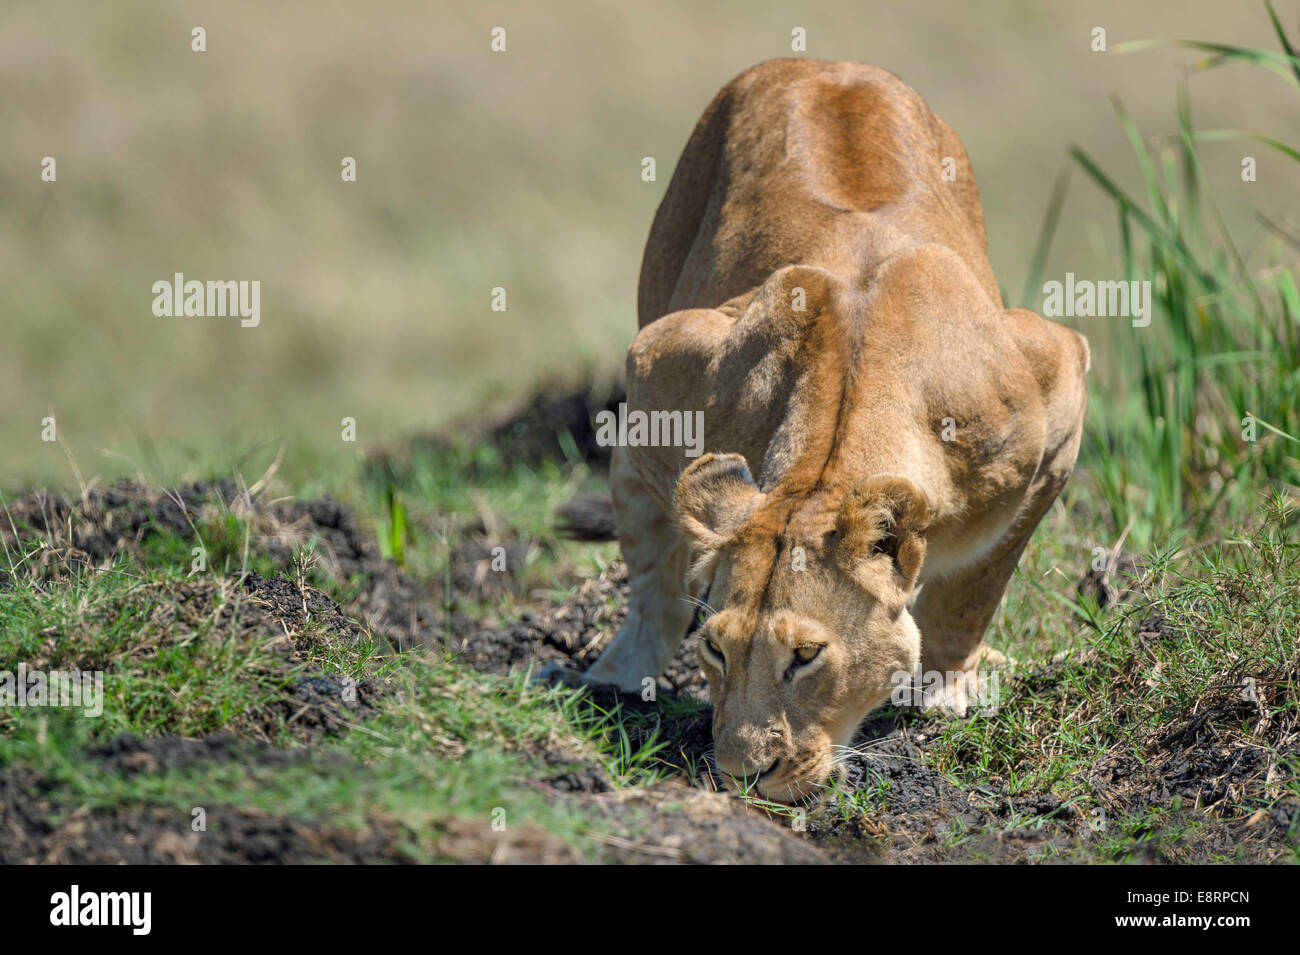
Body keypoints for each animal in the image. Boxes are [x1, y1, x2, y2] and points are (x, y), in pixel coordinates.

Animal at [550, 59, 1089, 802]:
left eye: (806, 656)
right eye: (715, 647)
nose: (745, 775)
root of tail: (828, 64)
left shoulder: (1059, 384)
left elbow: (976, 585)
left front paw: (948, 689)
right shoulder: (660, 362)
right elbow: (652, 559)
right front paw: (627, 671)